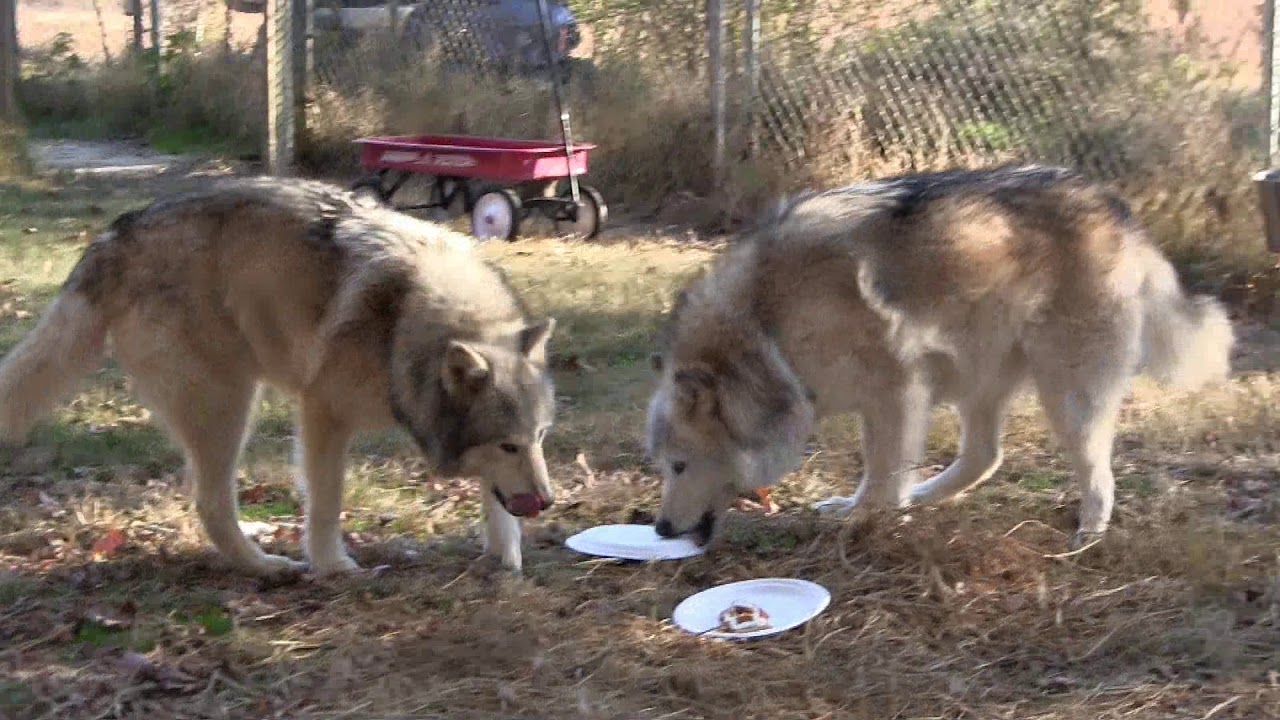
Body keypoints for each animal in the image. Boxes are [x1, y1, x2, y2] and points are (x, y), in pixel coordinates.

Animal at [0, 176, 558, 577]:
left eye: (538, 438)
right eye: (508, 445)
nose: (550, 502)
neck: (404, 322)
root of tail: (114, 237)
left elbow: (495, 499)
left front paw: (506, 554)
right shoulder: (323, 415)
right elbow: (327, 503)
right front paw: (332, 566)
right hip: (229, 405)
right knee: (211, 503)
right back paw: (266, 567)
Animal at [645, 165, 1233, 549]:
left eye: (679, 464)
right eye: (663, 466)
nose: (659, 528)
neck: (767, 323)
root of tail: (1119, 212)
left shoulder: (896, 392)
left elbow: (882, 475)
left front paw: (861, 523)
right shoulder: (886, 400)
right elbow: (881, 472)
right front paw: (859, 510)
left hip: (1067, 394)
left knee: (1096, 474)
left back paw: (1089, 533)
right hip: (981, 380)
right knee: (984, 458)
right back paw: (927, 498)